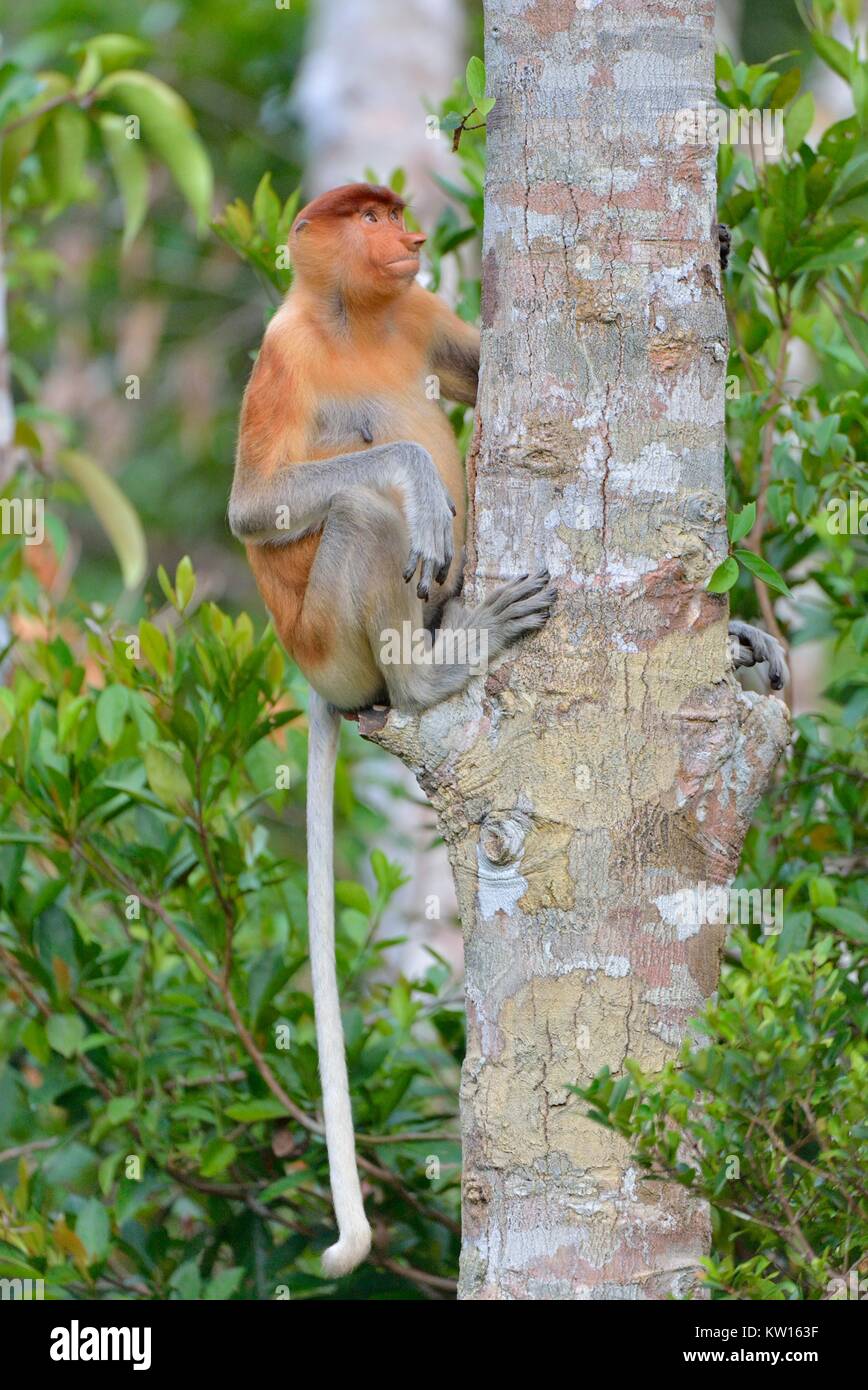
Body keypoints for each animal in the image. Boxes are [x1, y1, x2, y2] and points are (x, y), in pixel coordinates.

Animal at [228, 183, 786, 1277]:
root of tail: (313, 677)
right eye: (366, 216)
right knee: (360, 511)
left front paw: (723, 244)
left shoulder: (412, 310)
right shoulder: (282, 354)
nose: (405, 237)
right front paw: (421, 482)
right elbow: (254, 507)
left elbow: (477, 364)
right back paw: (433, 658)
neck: (352, 320)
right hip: (329, 644)